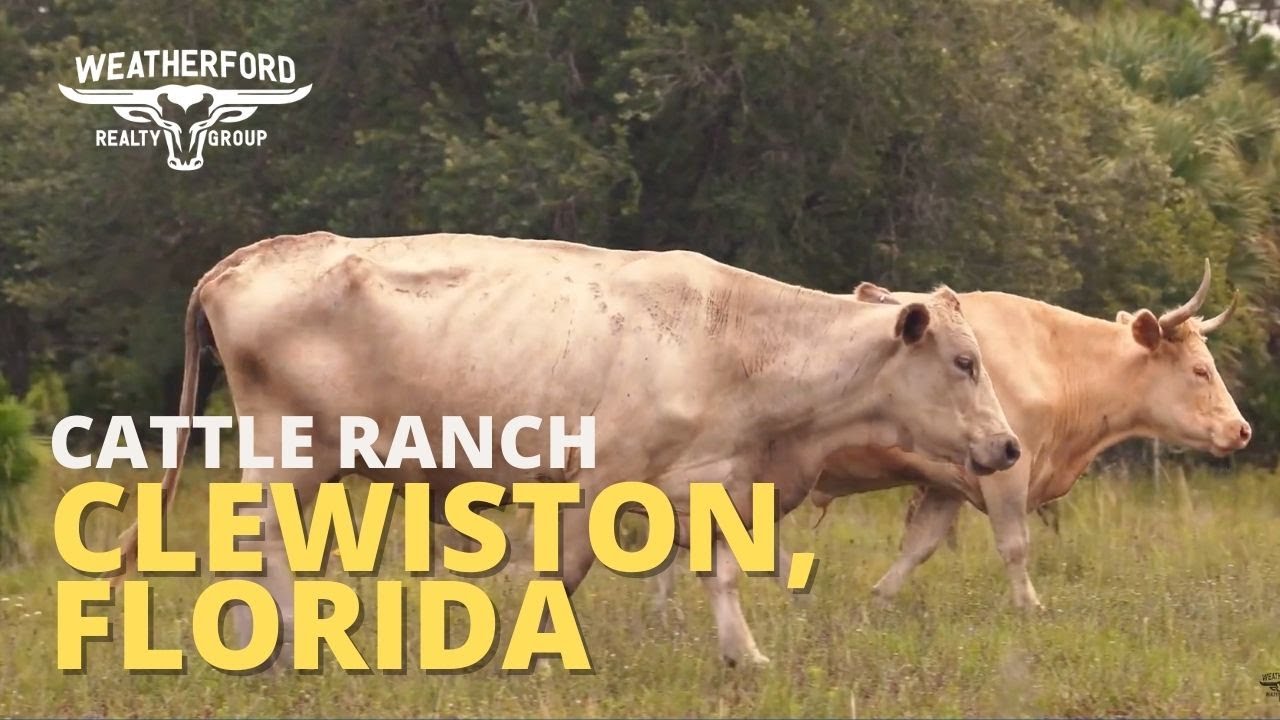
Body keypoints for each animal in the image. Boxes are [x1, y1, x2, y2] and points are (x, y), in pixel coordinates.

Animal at [108, 230, 1020, 668]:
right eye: (965, 361)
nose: (1010, 445)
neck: (733, 345)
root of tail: (245, 259)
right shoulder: (599, 478)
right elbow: (562, 573)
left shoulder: (712, 479)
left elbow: (722, 575)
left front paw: (746, 656)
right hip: (289, 454)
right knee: (265, 540)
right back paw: (286, 643)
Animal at [655, 260, 1249, 612]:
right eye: (1200, 370)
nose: (1240, 429)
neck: (1052, 358)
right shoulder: (1009, 471)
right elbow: (1015, 545)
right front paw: (1029, 608)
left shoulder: (947, 483)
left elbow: (920, 545)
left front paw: (879, 599)